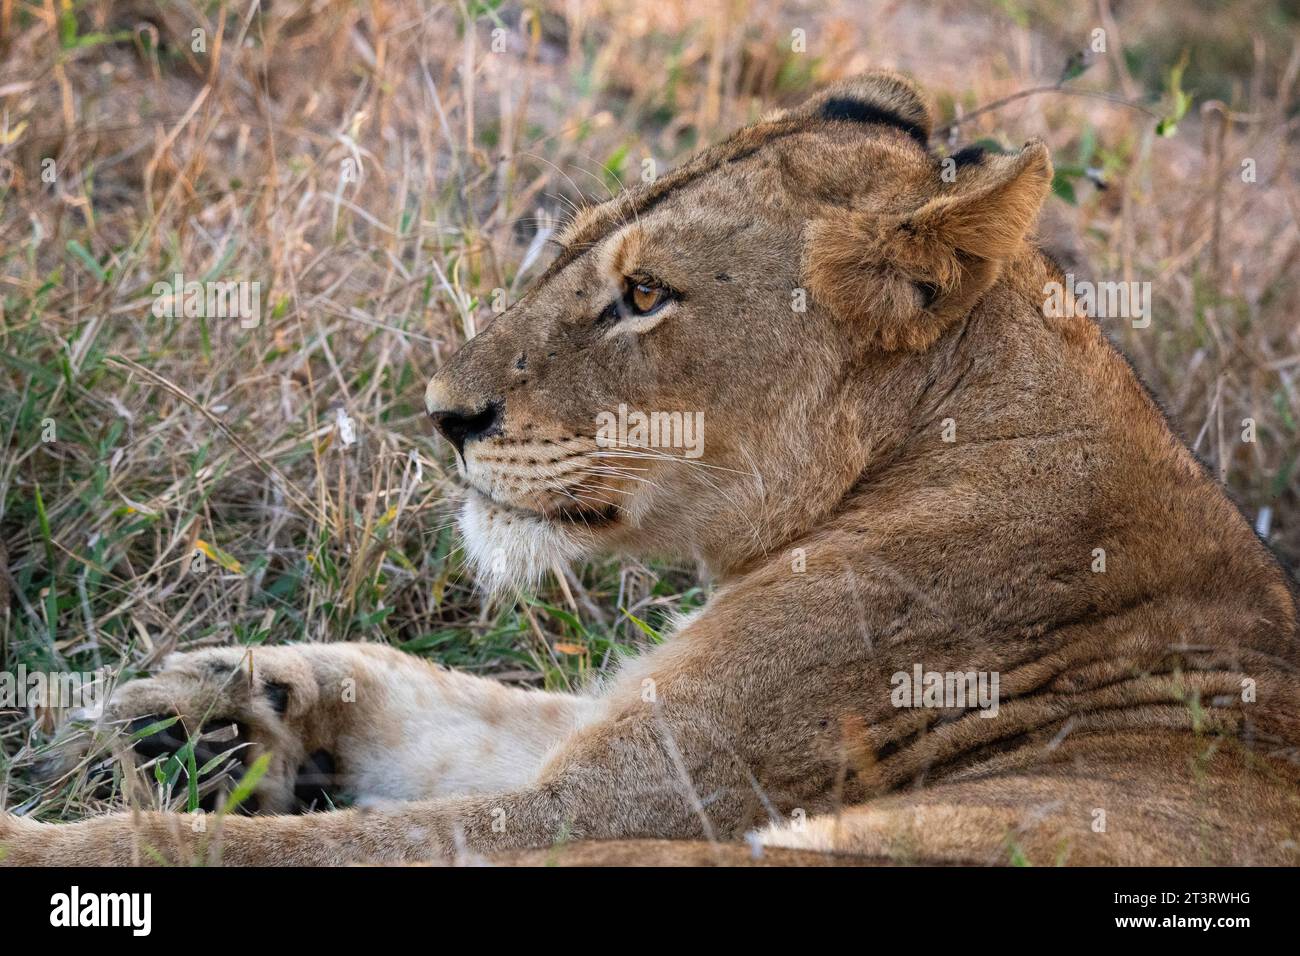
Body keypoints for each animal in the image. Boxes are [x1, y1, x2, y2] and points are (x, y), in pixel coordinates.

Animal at [3, 71, 1298, 866]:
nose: (442, 415)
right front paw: (212, 702)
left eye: (643, 296)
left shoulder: (620, 801)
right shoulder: (614, 734)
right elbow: (446, 699)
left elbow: (287, 847)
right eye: (574, 251)